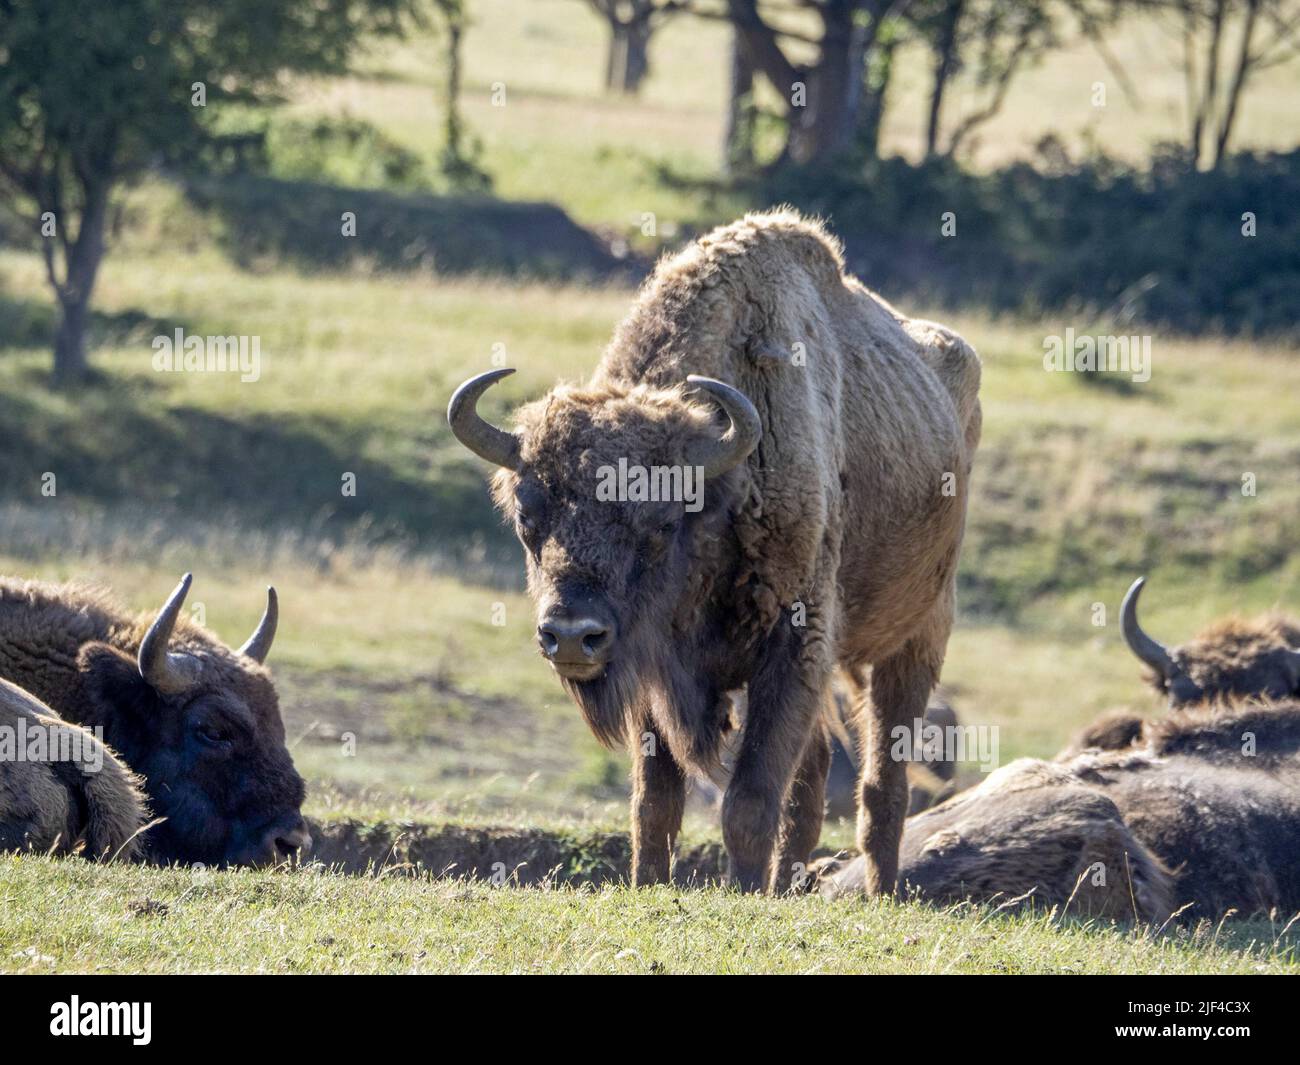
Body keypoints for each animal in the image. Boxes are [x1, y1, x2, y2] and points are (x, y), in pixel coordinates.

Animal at [449, 210, 981, 891]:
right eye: (526, 515)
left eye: (659, 522)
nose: (570, 636)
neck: (720, 489)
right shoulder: (654, 664)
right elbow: (656, 801)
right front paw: (649, 883)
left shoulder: (793, 644)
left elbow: (749, 801)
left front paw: (745, 890)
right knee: (813, 783)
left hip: (919, 634)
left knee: (881, 782)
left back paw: (878, 894)